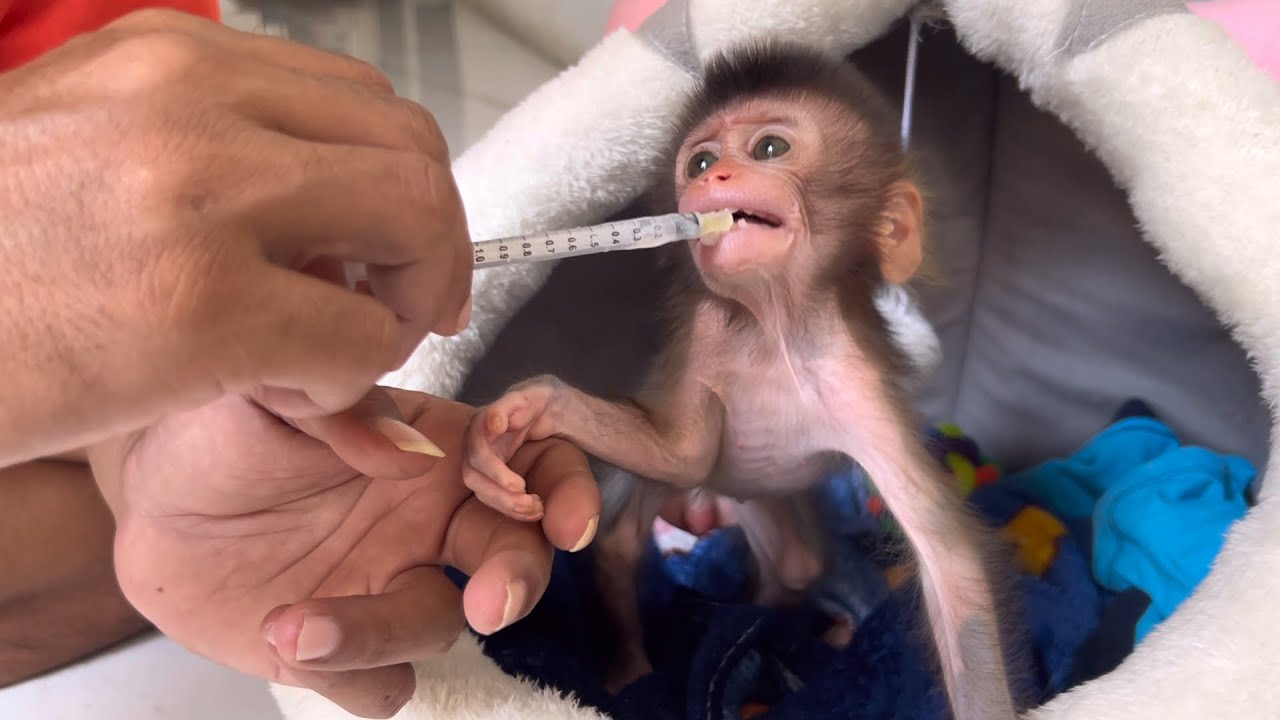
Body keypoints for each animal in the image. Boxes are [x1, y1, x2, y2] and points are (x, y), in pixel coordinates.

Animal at [463, 41, 1021, 719]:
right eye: (700, 160)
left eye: (770, 148)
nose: (713, 179)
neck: (775, 329)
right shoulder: (706, 341)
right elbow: (678, 453)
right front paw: (531, 408)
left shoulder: (863, 389)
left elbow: (950, 563)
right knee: (623, 542)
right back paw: (635, 667)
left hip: (765, 501)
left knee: (800, 564)